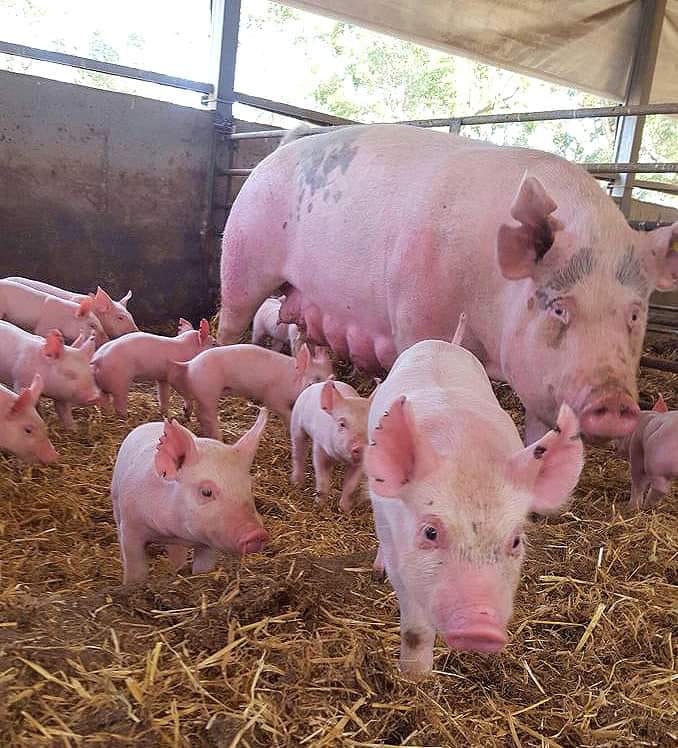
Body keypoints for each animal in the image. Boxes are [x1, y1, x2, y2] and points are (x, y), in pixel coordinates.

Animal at [112, 408, 269, 585]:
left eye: (249, 487)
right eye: (206, 492)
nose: (257, 534)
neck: (173, 532)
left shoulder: (208, 541)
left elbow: (203, 567)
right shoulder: (131, 526)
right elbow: (135, 566)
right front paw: (132, 585)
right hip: (115, 497)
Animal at [167, 343, 334, 439]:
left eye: (332, 378)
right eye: (312, 382)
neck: (292, 380)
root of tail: (191, 364)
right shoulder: (274, 398)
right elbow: (286, 413)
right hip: (208, 391)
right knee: (206, 415)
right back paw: (219, 437)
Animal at [217, 124, 678, 443]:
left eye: (634, 313)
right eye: (559, 306)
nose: (615, 402)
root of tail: (275, 153)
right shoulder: (418, 315)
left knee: (300, 333)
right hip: (240, 257)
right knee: (230, 320)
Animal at [290, 379, 377, 512]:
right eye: (342, 424)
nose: (361, 446)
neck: (339, 457)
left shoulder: (359, 464)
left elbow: (351, 486)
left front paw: (345, 509)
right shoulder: (319, 448)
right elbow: (322, 481)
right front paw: (319, 506)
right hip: (296, 423)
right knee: (298, 454)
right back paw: (297, 483)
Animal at [364, 337, 584, 679]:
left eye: (516, 541)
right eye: (430, 532)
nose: (481, 627)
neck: (467, 455)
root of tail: (440, 342)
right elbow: (415, 629)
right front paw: (414, 679)